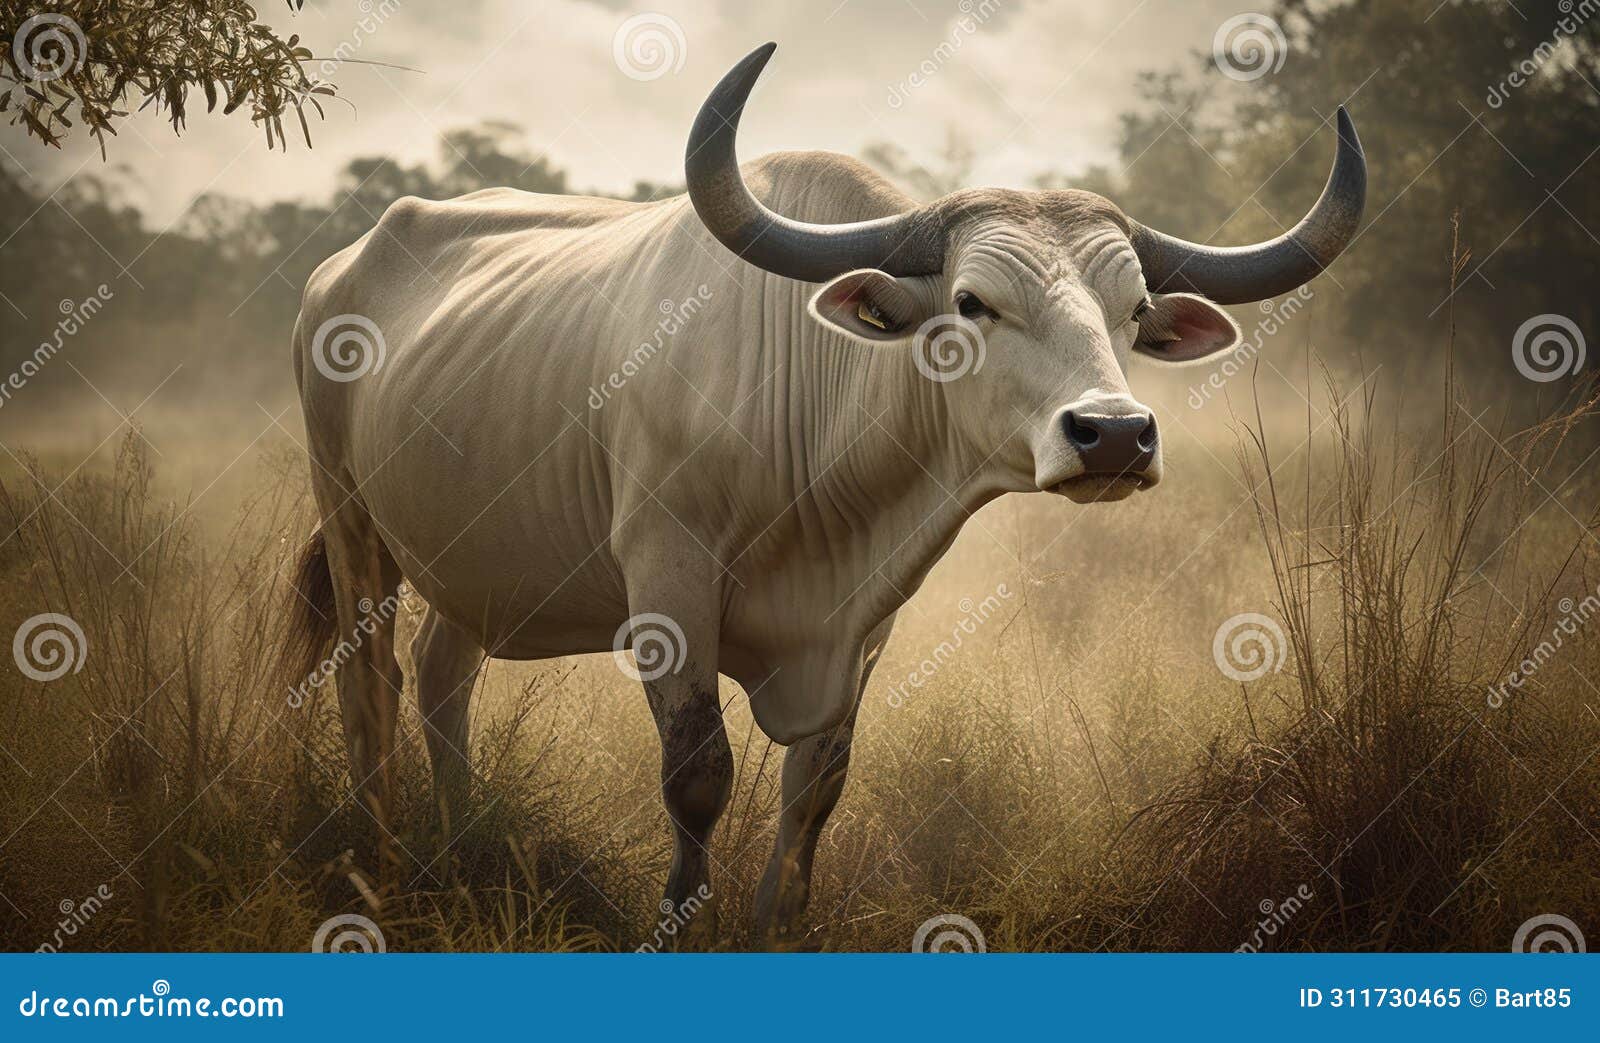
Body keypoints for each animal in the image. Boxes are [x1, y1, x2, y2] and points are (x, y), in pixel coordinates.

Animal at [285, 42, 1365, 944]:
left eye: (1133, 310)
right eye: (972, 302)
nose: (1113, 435)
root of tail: (339, 271)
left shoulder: (865, 619)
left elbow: (818, 787)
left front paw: (777, 924)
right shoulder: (668, 583)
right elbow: (699, 774)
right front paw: (684, 919)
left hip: (466, 569)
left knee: (442, 679)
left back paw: (461, 839)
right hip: (352, 523)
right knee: (370, 687)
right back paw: (382, 864)